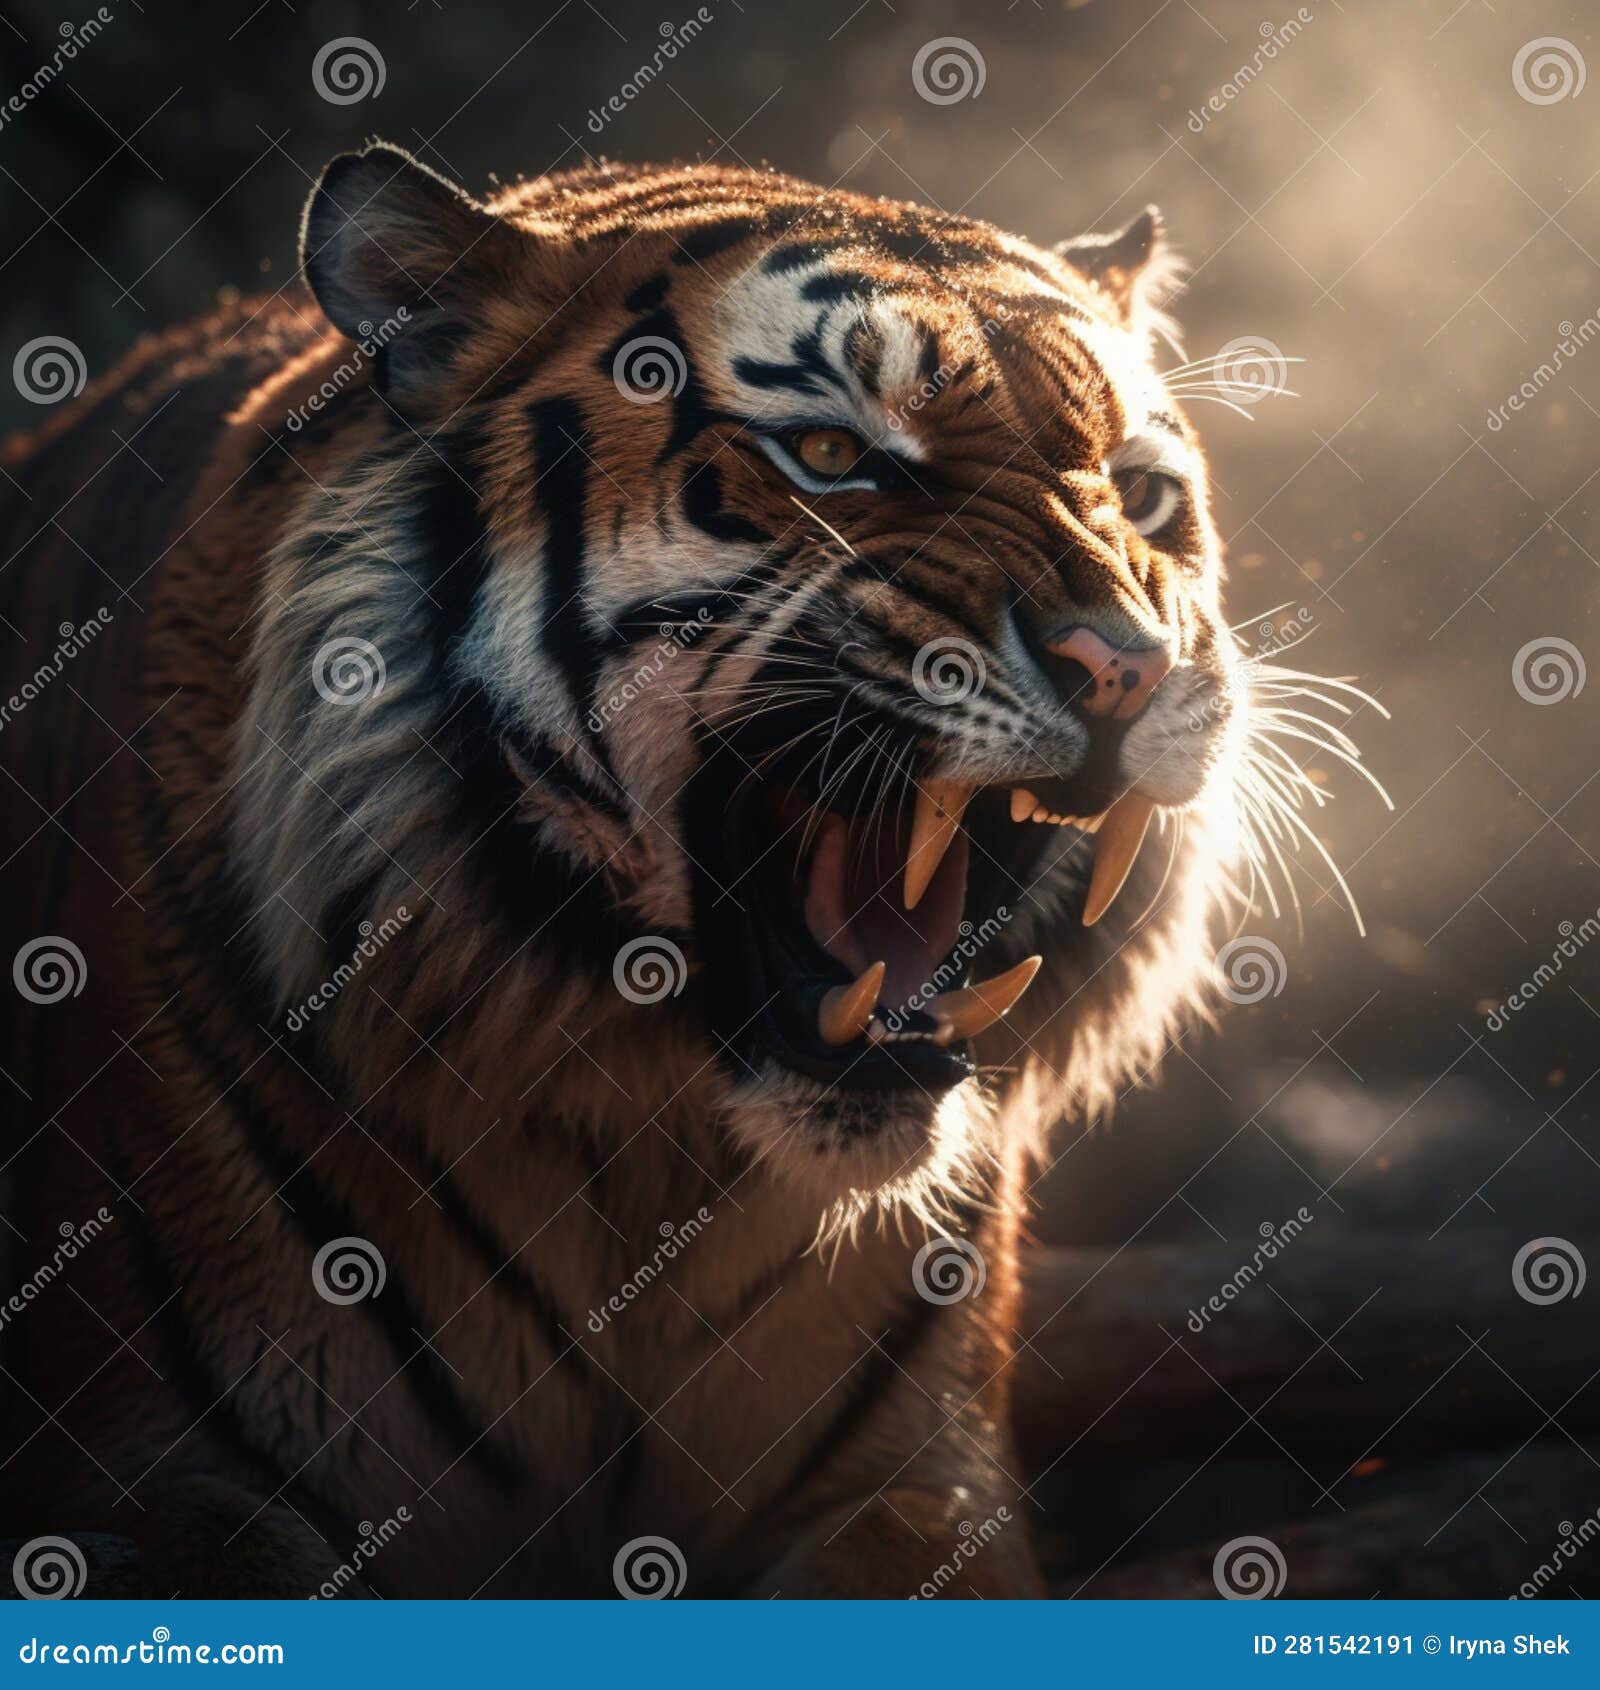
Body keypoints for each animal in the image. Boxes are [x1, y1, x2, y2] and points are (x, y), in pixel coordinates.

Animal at [0, 143, 1316, 1597]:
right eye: (831, 455)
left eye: (1141, 496)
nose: (1129, 666)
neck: (639, 1140)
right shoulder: (151, 1463)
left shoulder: (921, 1480)